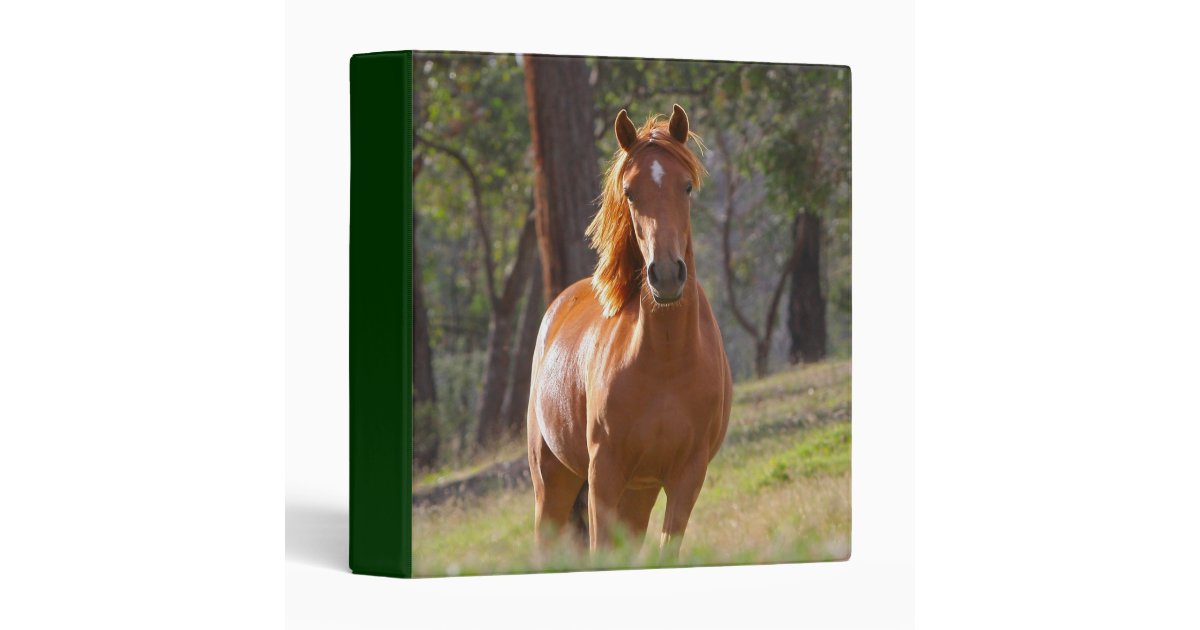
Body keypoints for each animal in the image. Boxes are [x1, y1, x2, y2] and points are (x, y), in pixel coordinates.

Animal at [526, 104, 732, 559]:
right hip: (554, 481)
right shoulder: (604, 471)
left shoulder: (686, 477)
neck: (667, 360)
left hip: (639, 492)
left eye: (686, 186)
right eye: (630, 192)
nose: (667, 275)